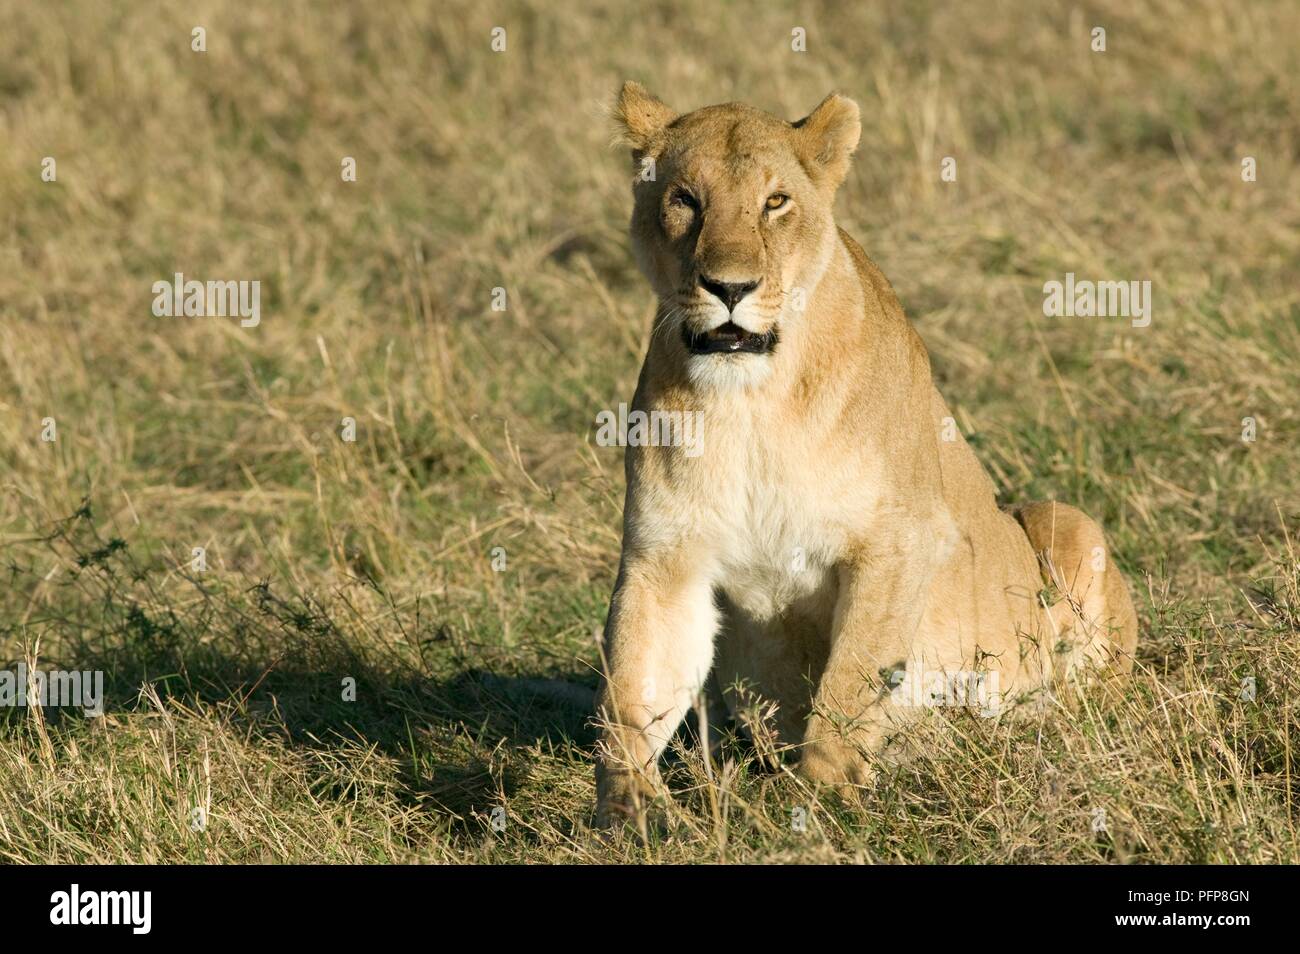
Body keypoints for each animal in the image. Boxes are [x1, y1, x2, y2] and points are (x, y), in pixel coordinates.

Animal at [594, 82, 1139, 826]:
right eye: (685, 199)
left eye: (775, 201)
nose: (729, 288)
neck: (752, 400)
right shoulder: (665, 556)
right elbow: (631, 686)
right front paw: (631, 812)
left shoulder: (900, 540)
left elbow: (850, 678)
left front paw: (821, 799)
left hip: (1064, 523)